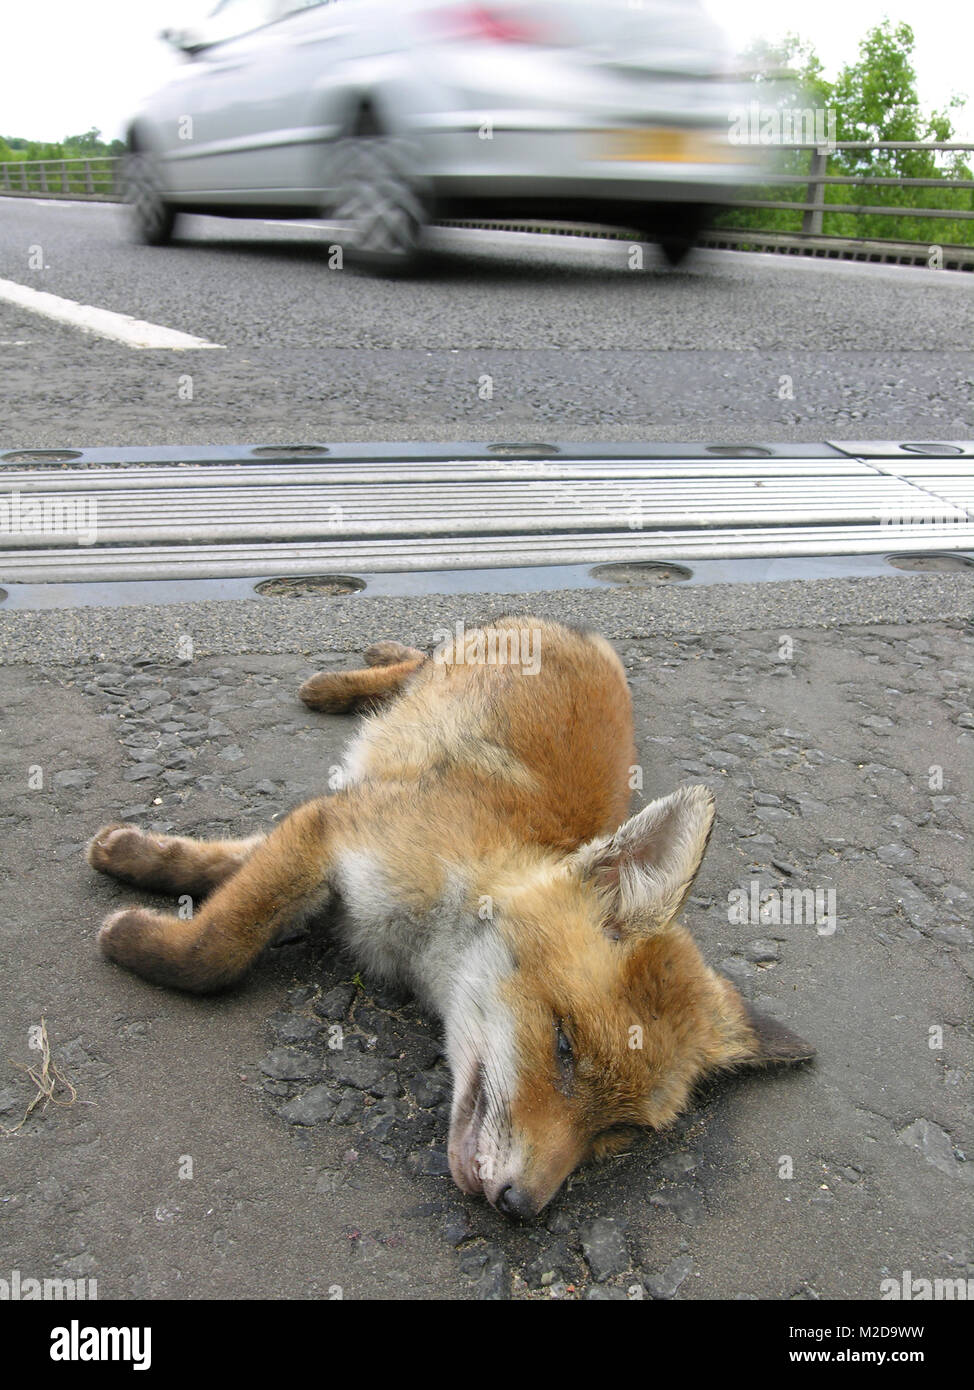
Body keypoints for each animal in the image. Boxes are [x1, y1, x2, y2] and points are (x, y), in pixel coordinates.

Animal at [88, 616, 813, 1219]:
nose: (521, 1208)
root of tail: (587, 636)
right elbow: (218, 947)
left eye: (617, 1131)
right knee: (420, 655)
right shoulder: (335, 828)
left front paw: (137, 858)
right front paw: (136, 930)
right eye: (563, 1045)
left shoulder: (328, 836)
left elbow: (223, 870)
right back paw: (343, 679)